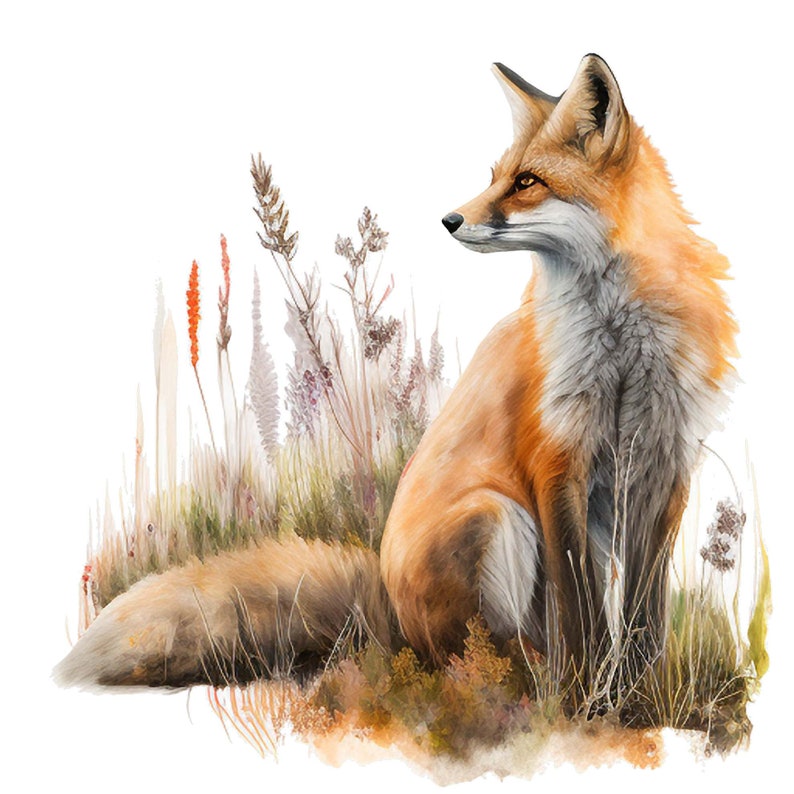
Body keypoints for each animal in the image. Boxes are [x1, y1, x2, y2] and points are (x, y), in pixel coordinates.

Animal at [55, 54, 735, 690]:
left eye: (527, 182)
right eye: (495, 177)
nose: (450, 219)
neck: (620, 351)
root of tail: (388, 614)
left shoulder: (665, 467)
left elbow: (646, 613)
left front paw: (638, 691)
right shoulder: (557, 458)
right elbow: (583, 613)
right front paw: (588, 693)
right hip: (494, 515)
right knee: (477, 658)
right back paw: (531, 680)